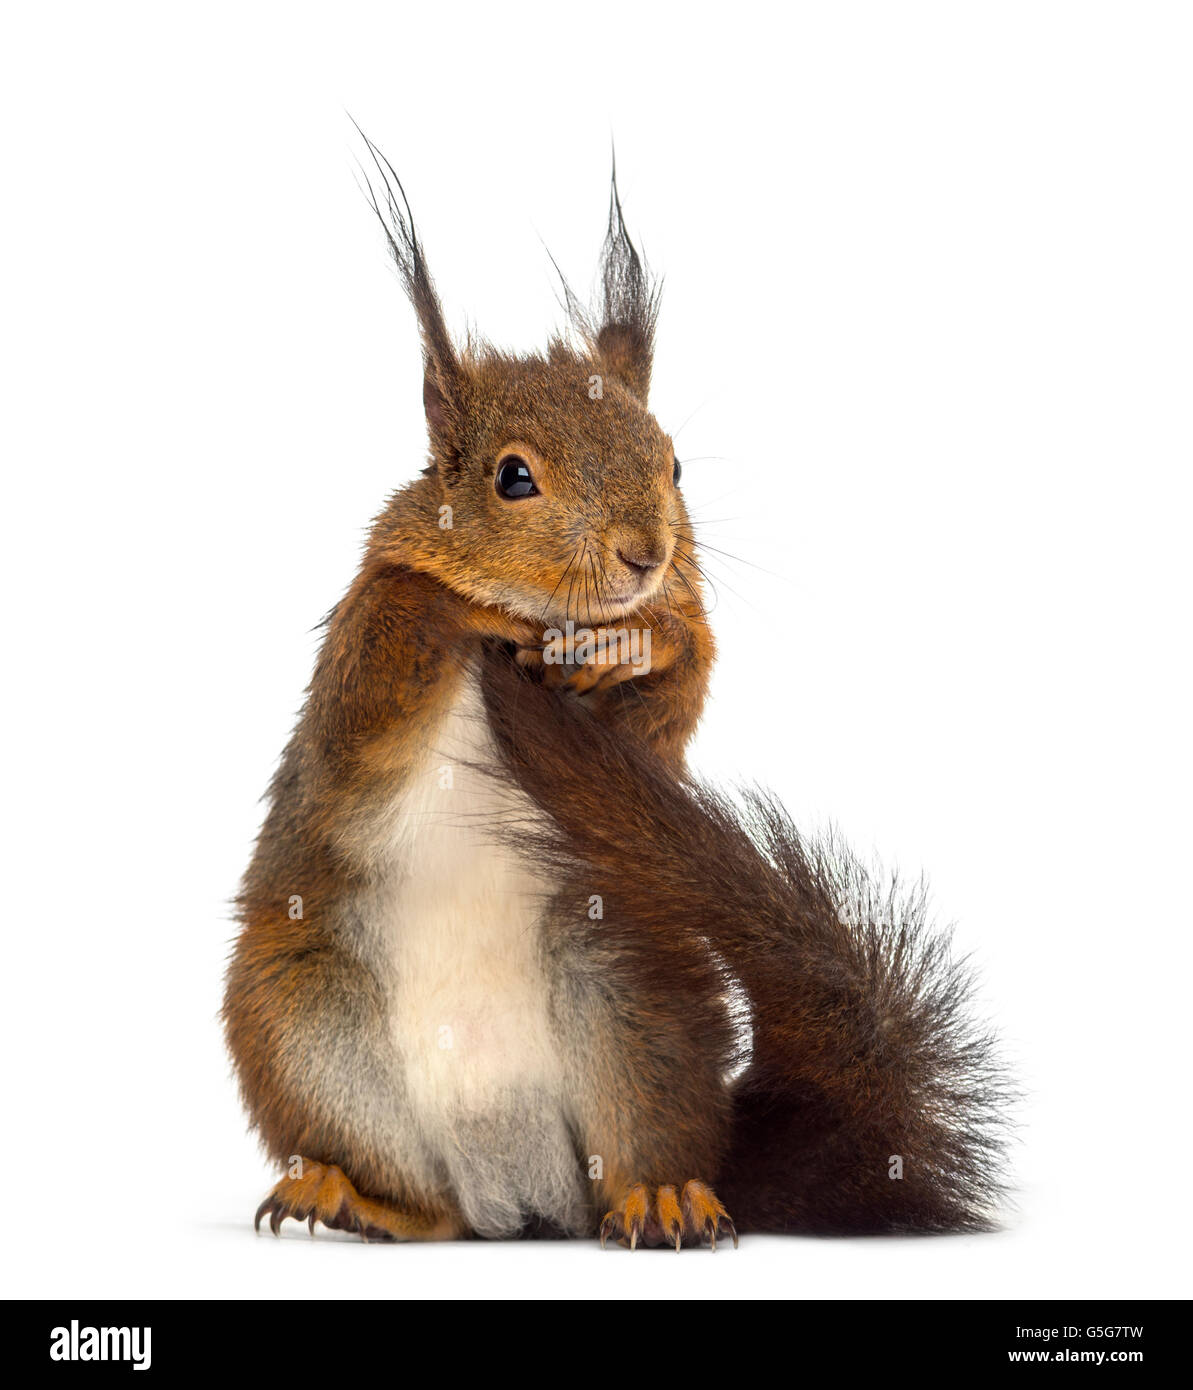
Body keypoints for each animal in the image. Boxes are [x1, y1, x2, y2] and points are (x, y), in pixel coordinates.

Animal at [223, 133, 1009, 1249]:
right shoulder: (348, 674)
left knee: (630, 1160)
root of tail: (518, 1195)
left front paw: (646, 642)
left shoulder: (654, 720)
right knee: (428, 1210)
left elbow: (673, 693)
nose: (646, 555)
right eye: (512, 477)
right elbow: (380, 667)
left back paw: (663, 1196)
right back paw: (344, 1196)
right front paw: (450, 605)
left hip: (633, 1008)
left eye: (673, 463)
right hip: (301, 1020)